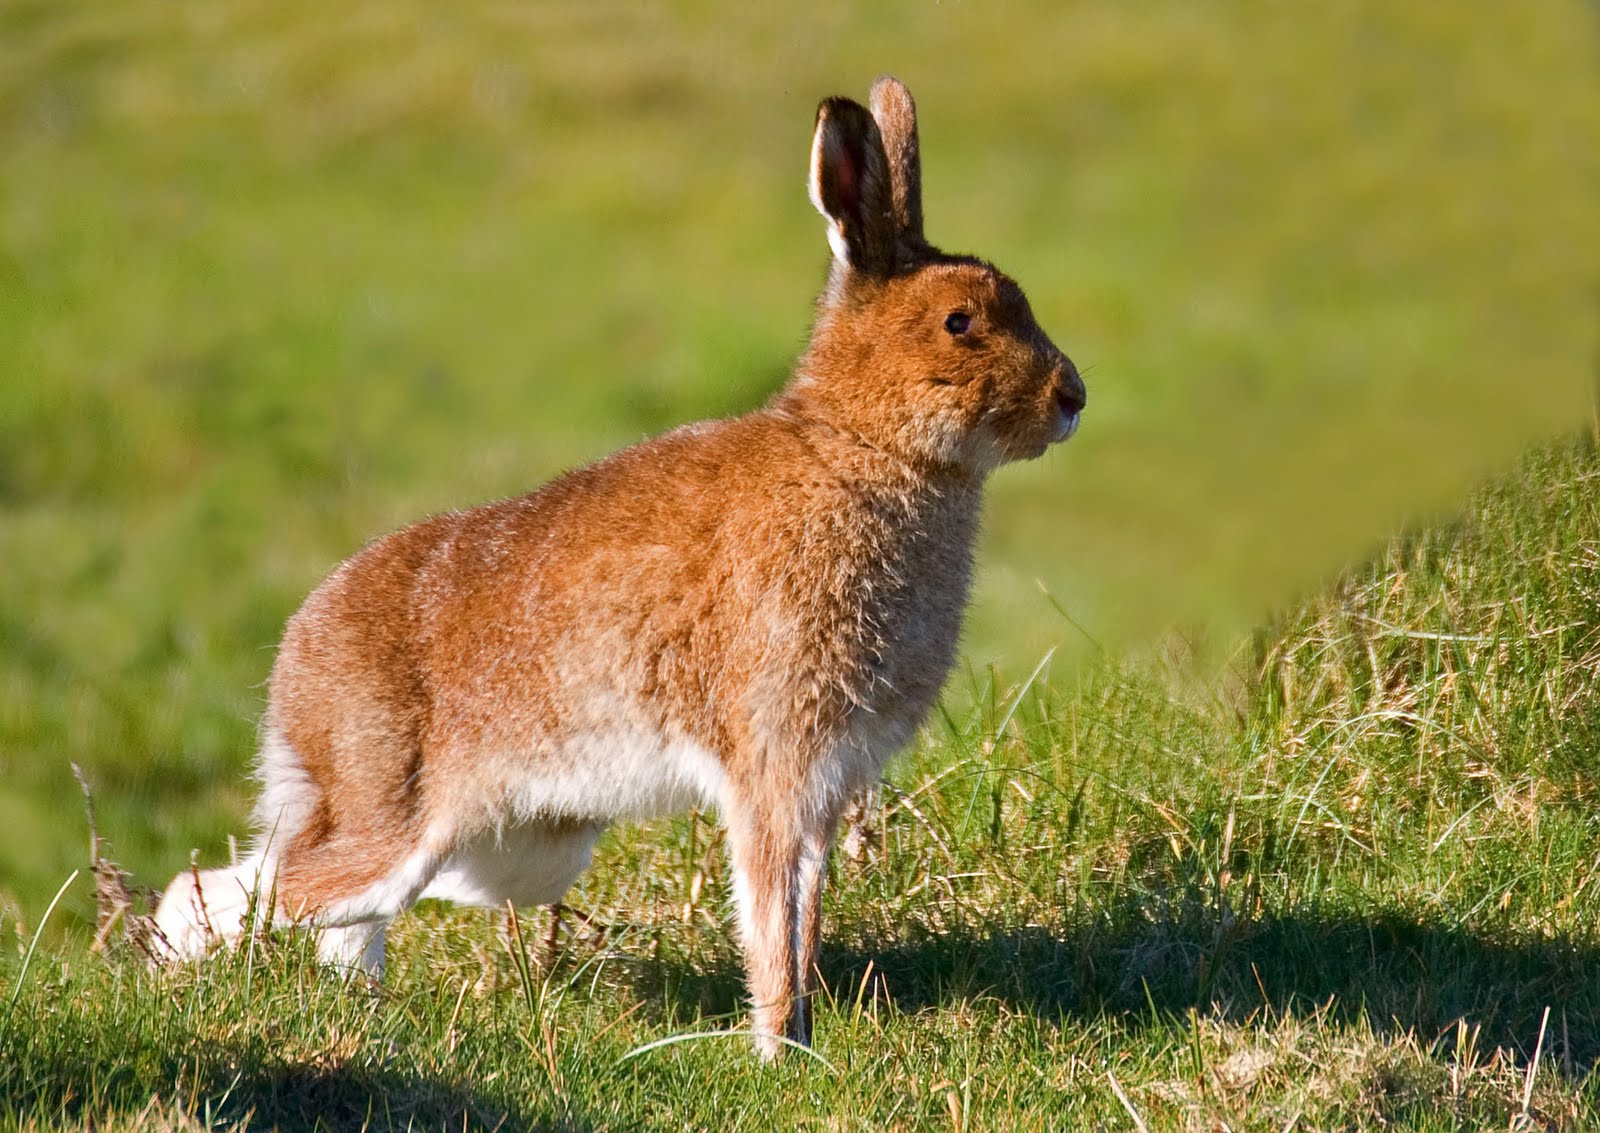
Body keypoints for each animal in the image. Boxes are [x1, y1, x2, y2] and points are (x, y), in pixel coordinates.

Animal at [152, 75, 1086, 1057]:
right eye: (959, 322)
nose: (1072, 398)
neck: (863, 444)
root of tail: (296, 656)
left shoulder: (823, 781)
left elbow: (804, 909)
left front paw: (801, 1032)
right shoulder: (773, 763)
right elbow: (769, 911)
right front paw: (775, 1049)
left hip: (515, 849)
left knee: (321, 914)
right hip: (400, 817)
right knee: (241, 893)